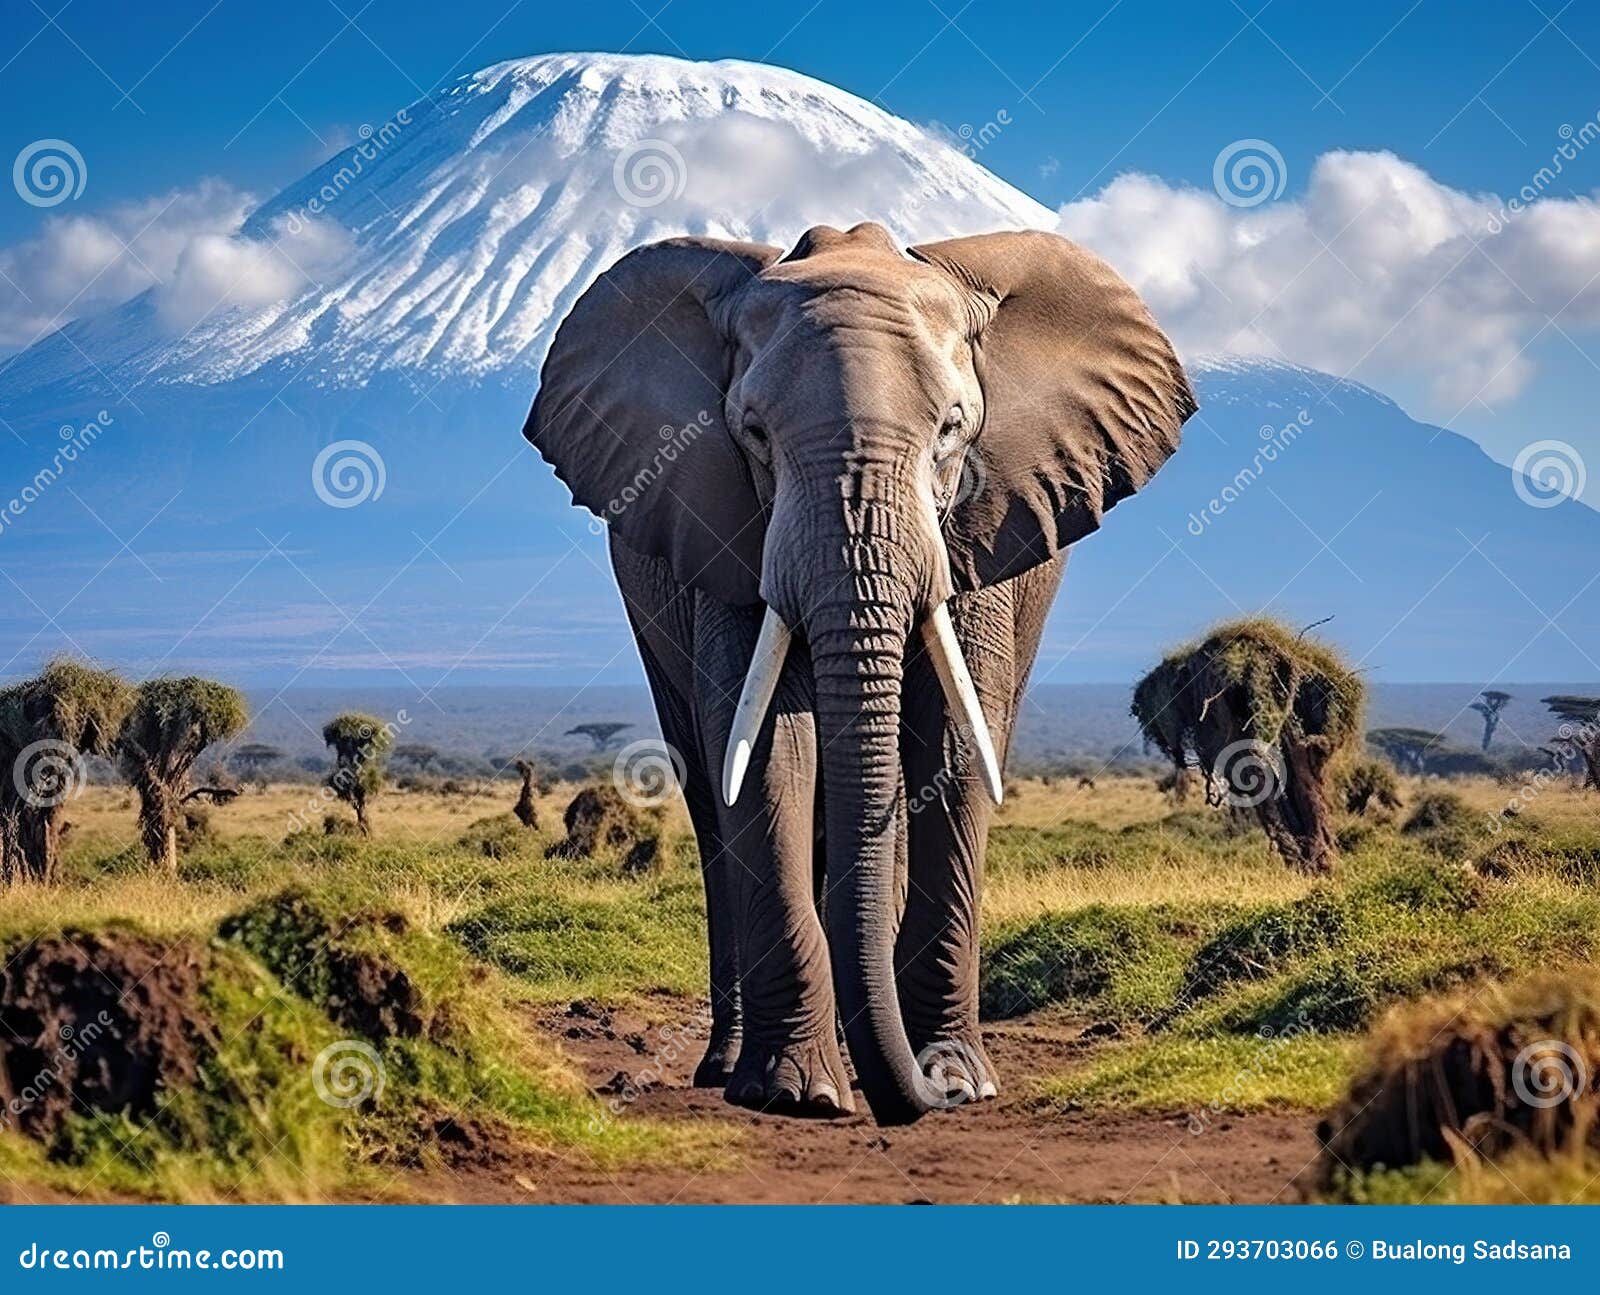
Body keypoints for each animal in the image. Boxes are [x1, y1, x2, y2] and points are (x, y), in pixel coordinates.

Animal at [524, 221, 1194, 1125]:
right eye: (753, 433)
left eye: (952, 430)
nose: (928, 1096)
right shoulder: (730, 533)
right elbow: (764, 745)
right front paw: (796, 1091)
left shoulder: (983, 531)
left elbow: (952, 742)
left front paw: (957, 1076)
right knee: (708, 789)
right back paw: (733, 1061)